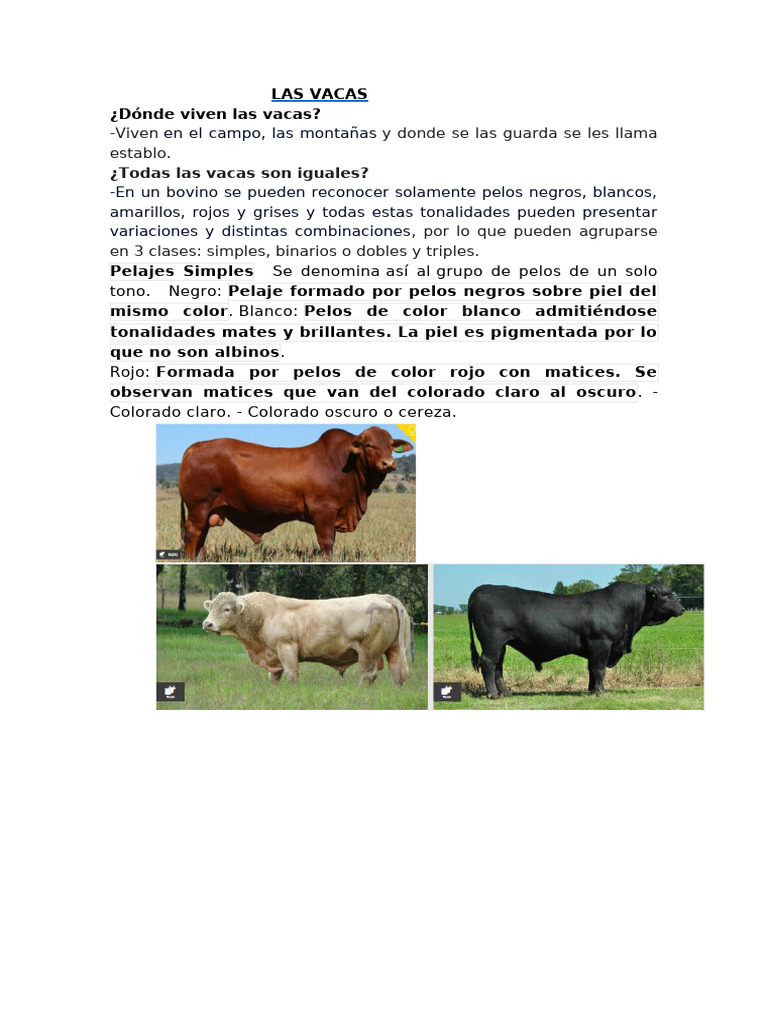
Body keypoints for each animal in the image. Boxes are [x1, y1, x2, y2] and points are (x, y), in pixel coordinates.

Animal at [178, 427, 413, 560]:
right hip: (199, 507)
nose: (389, 463)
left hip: (210, 509)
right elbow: (327, 541)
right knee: (193, 534)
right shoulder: (324, 510)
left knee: (202, 536)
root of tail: (194, 447)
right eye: (368, 444)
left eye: (391, 445)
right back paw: (190, 560)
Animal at [202, 591, 411, 686]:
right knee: (397, 672)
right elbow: (274, 677)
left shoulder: (286, 647)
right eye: (211, 608)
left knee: (368, 674)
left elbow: (291, 674)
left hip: (369, 651)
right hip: (393, 648)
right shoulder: (274, 655)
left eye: (227, 609)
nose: (207, 624)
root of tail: (383, 597)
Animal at [467, 580, 685, 698]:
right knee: (488, 663)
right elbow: (599, 669)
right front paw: (600, 692)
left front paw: (591, 690)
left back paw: (505, 692)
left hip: (501, 644)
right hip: (492, 641)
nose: (682, 608)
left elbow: (592, 670)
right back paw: (493, 694)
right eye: (665, 594)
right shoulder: (602, 644)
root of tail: (487, 587)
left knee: (498, 666)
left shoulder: (594, 649)